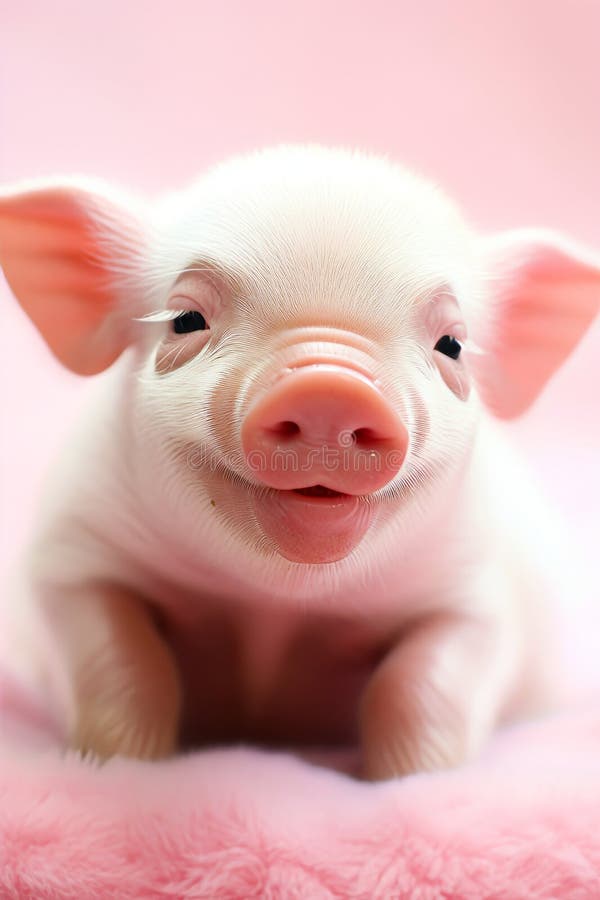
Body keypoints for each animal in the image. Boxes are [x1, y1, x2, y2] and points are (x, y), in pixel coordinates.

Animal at [0, 145, 598, 780]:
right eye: (185, 319)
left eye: (452, 345)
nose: (329, 387)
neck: (276, 607)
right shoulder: (70, 557)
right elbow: (122, 667)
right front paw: (116, 767)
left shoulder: (478, 595)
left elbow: (418, 688)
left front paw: (414, 781)